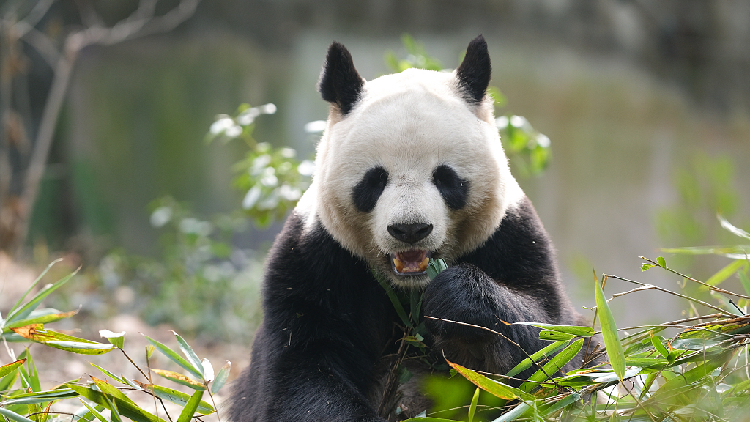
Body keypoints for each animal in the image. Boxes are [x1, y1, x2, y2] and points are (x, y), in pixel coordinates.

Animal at [229, 36, 598, 422]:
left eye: (446, 178)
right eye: (375, 180)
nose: (410, 229)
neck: (407, 289)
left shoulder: (513, 237)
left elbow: (550, 346)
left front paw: (456, 299)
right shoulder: (315, 259)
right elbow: (302, 371)